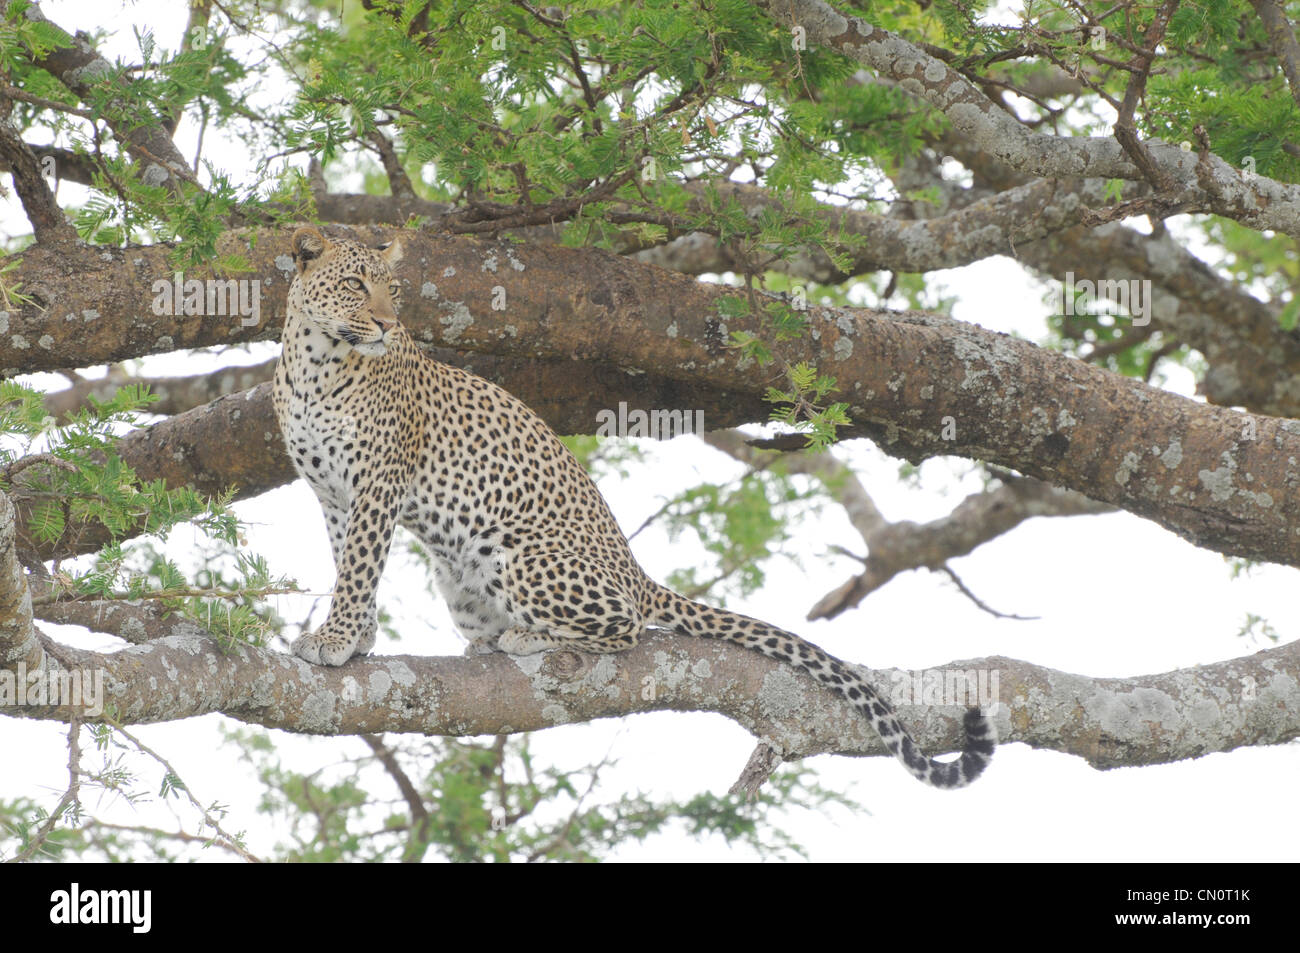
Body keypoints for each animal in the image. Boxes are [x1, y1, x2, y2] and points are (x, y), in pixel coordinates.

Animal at [271, 226, 996, 789]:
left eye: (392, 289)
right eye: (355, 285)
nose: (389, 324)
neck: (314, 365)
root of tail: (636, 571)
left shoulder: (377, 484)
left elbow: (359, 565)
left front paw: (334, 640)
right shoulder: (333, 493)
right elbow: (349, 562)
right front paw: (356, 637)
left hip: (520, 556)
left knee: (626, 627)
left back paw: (532, 636)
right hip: (460, 583)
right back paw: (491, 640)